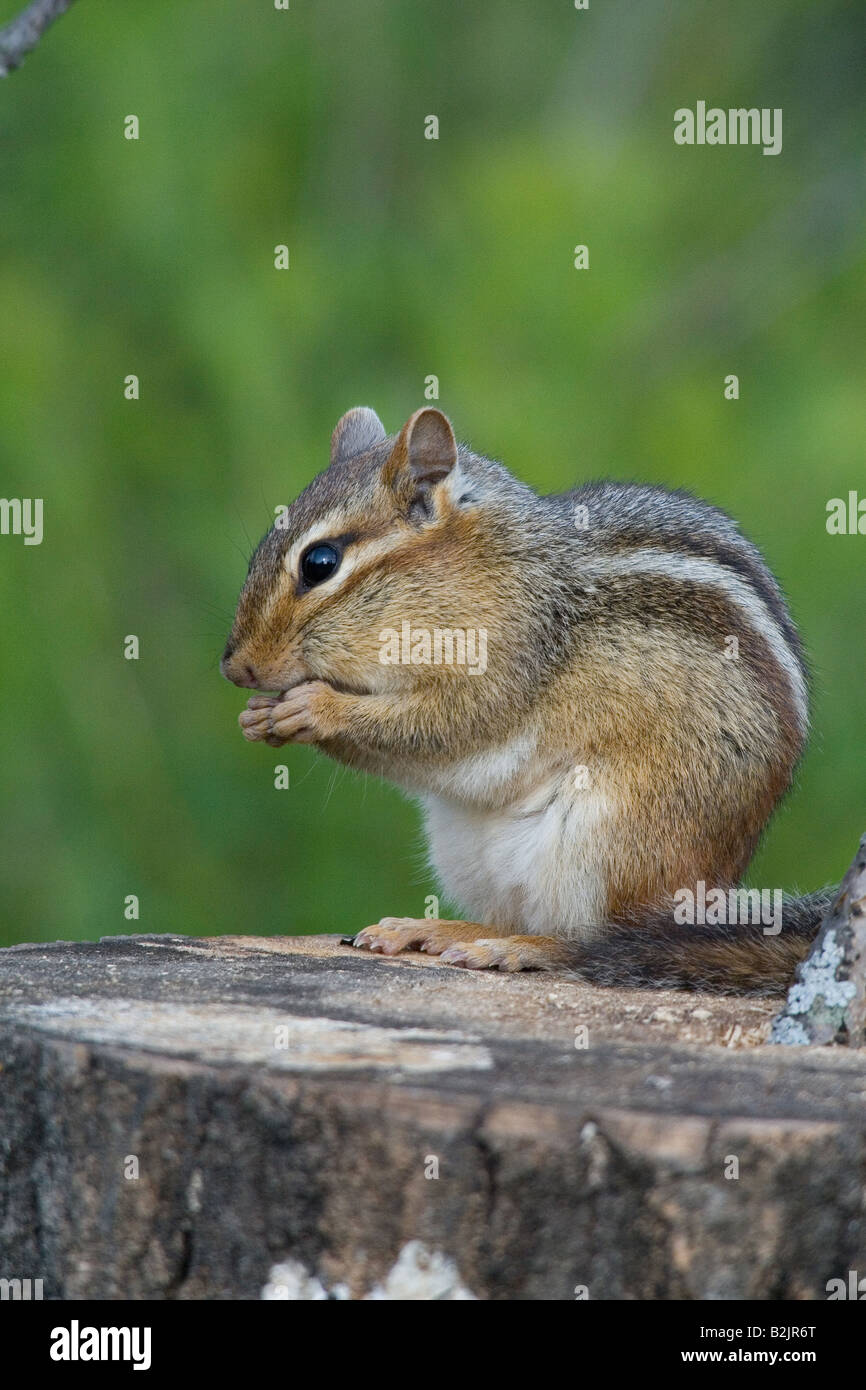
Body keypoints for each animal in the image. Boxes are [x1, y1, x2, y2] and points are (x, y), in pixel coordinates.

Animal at [221, 405, 835, 994]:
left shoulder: (505, 670)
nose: (234, 667)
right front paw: (257, 717)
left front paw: (312, 709)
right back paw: (436, 929)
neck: (479, 574)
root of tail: (711, 901)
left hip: (609, 840)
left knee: (593, 940)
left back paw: (517, 949)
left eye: (319, 563)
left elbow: (441, 728)